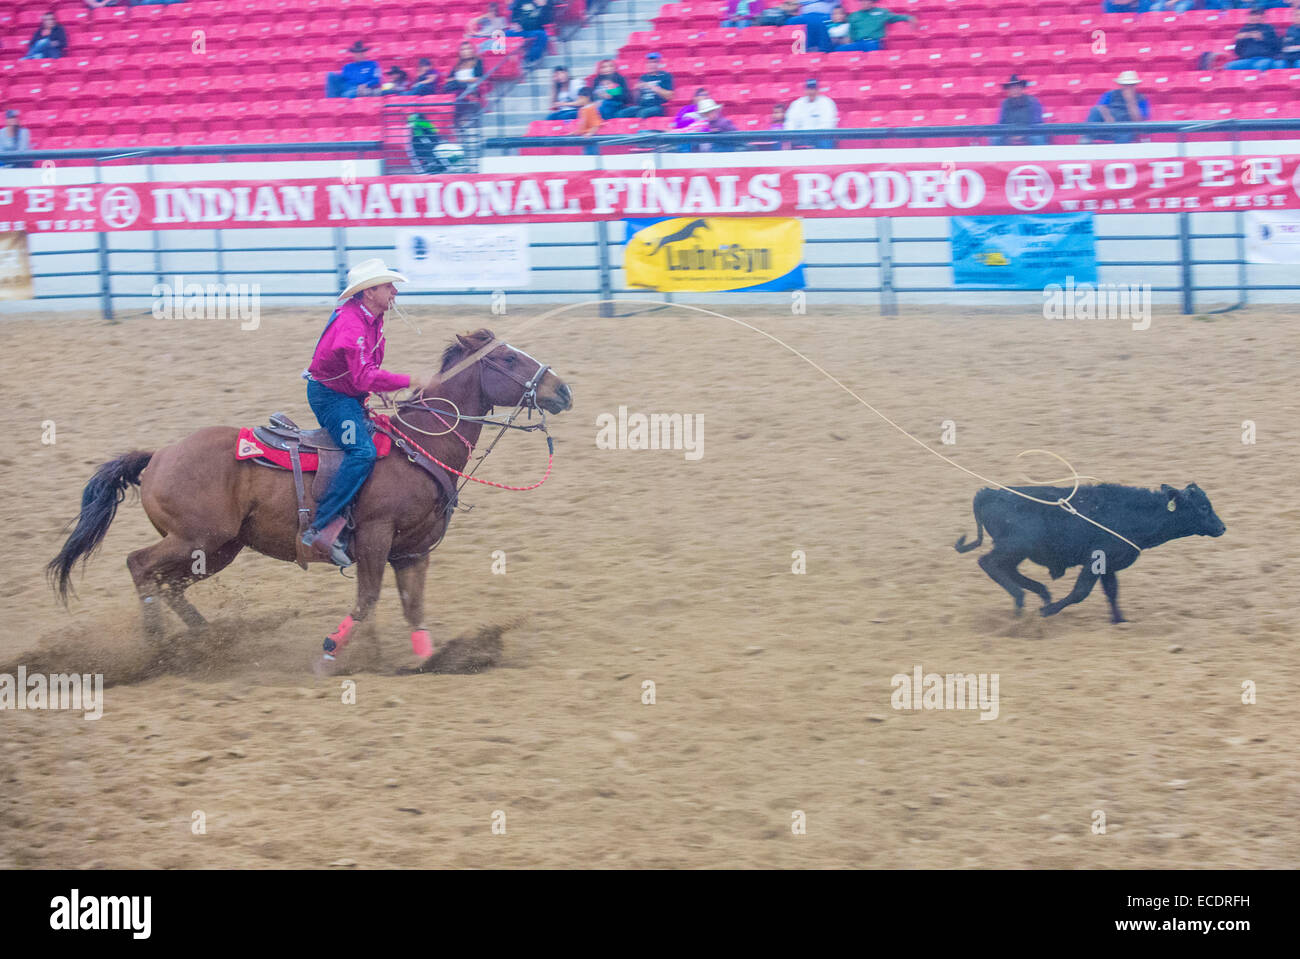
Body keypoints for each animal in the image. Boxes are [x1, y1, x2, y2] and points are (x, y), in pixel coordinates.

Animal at [954, 483, 1226, 622]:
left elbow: (1112, 592)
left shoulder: (1109, 565)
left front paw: (1119, 620)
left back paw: (1040, 593)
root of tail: (987, 492)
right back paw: (1023, 598)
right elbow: (1080, 592)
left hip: (1015, 550)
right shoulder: (1095, 561)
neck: (1131, 513)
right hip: (1014, 547)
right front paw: (1048, 612)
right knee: (989, 563)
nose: (1222, 527)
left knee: (1005, 569)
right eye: (1203, 507)